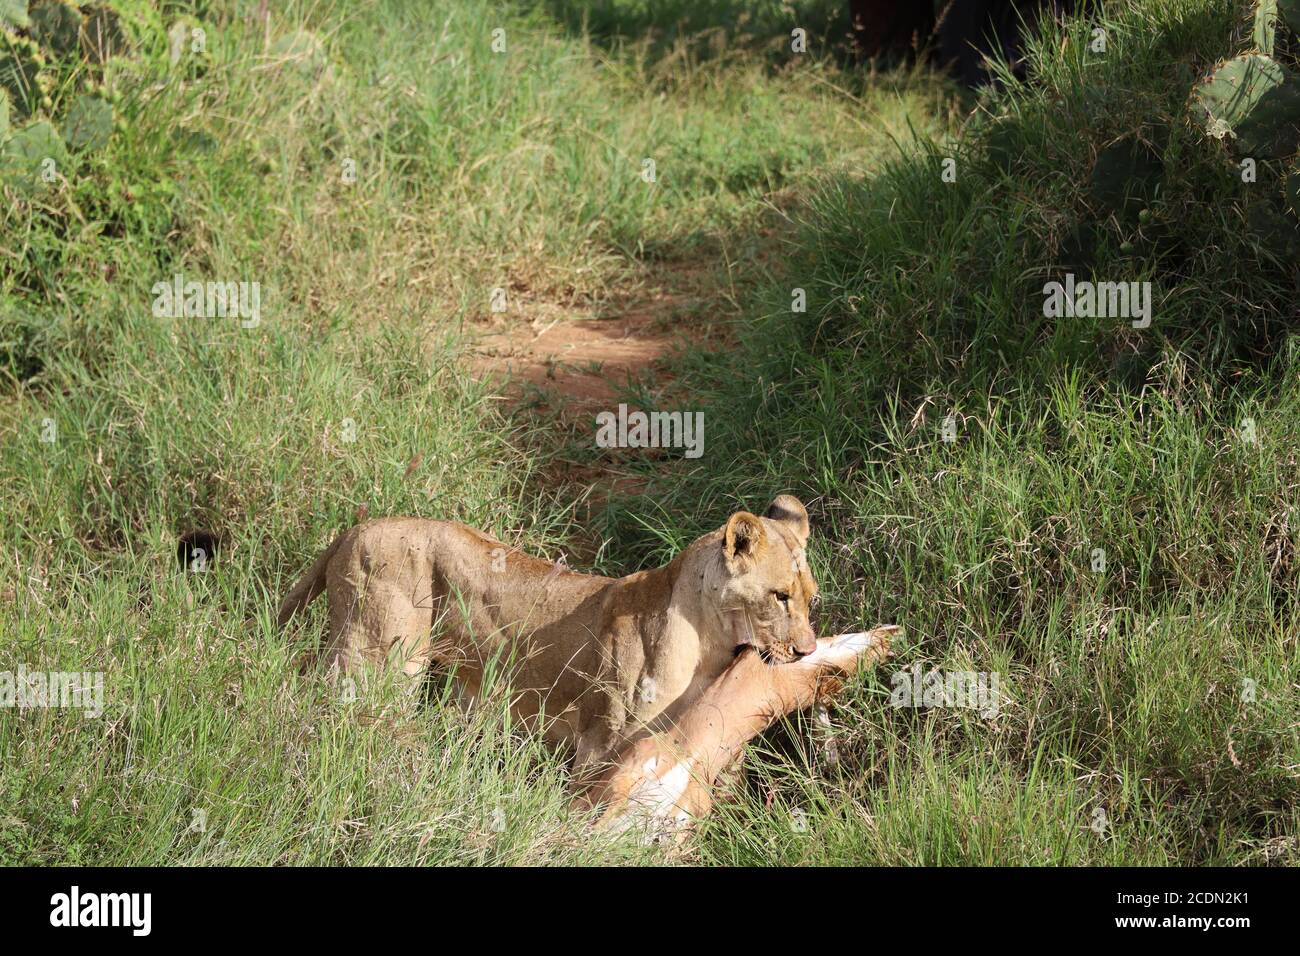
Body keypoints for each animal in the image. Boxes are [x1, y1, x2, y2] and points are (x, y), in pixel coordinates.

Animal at [276, 494, 820, 775]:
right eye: (779, 596)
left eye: (810, 597)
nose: (807, 650)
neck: (709, 644)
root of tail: (354, 531)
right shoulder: (602, 739)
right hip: (377, 661)